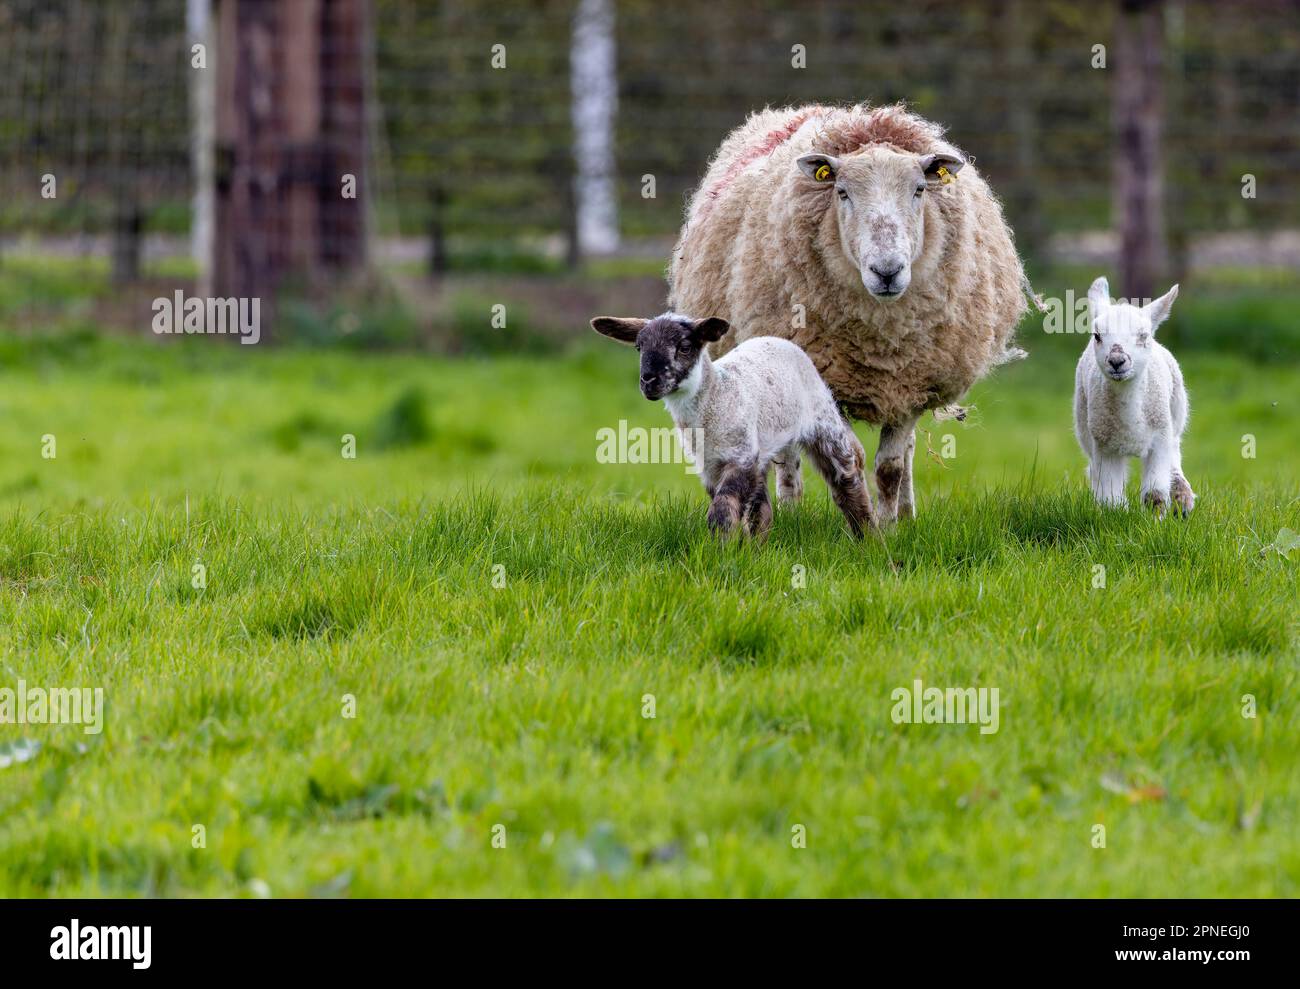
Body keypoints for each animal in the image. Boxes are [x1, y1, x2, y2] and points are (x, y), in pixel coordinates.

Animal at [590, 311, 876, 538]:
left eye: (685, 347)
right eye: (639, 347)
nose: (649, 380)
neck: (716, 395)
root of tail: (778, 339)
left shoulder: (739, 457)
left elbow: (723, 508)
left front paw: (722, 550)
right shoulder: (710, 466)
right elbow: (741, 507)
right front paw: (738, 549)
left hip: (823, 422)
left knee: (847, 479)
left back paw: (868, 537)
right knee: (763, 508)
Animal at [669, 103, 1028, 522]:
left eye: (919, 190)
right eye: (842, 192)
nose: (887, 271)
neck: (882, 339)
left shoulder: (911, 381)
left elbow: (890, 467)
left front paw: (889, 525)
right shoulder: (827, 381)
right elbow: (849, 456)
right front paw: (866, 518)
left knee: (905, 453)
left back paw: (907, 513)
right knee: (785, 454)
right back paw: (790, 509)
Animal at [1074, 276, 1194, 514]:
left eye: (1143, 336)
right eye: (1097, 336)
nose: (1117, 361)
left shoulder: (1160, 438)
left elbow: (1154, 495)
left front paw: (1156, 519)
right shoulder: (1105, 446)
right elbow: (1111, 499)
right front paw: (1115, 516)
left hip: (1176, 414)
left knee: (1175, 451)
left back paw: (1182, 495)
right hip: (1084, 426)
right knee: (1093, 471)